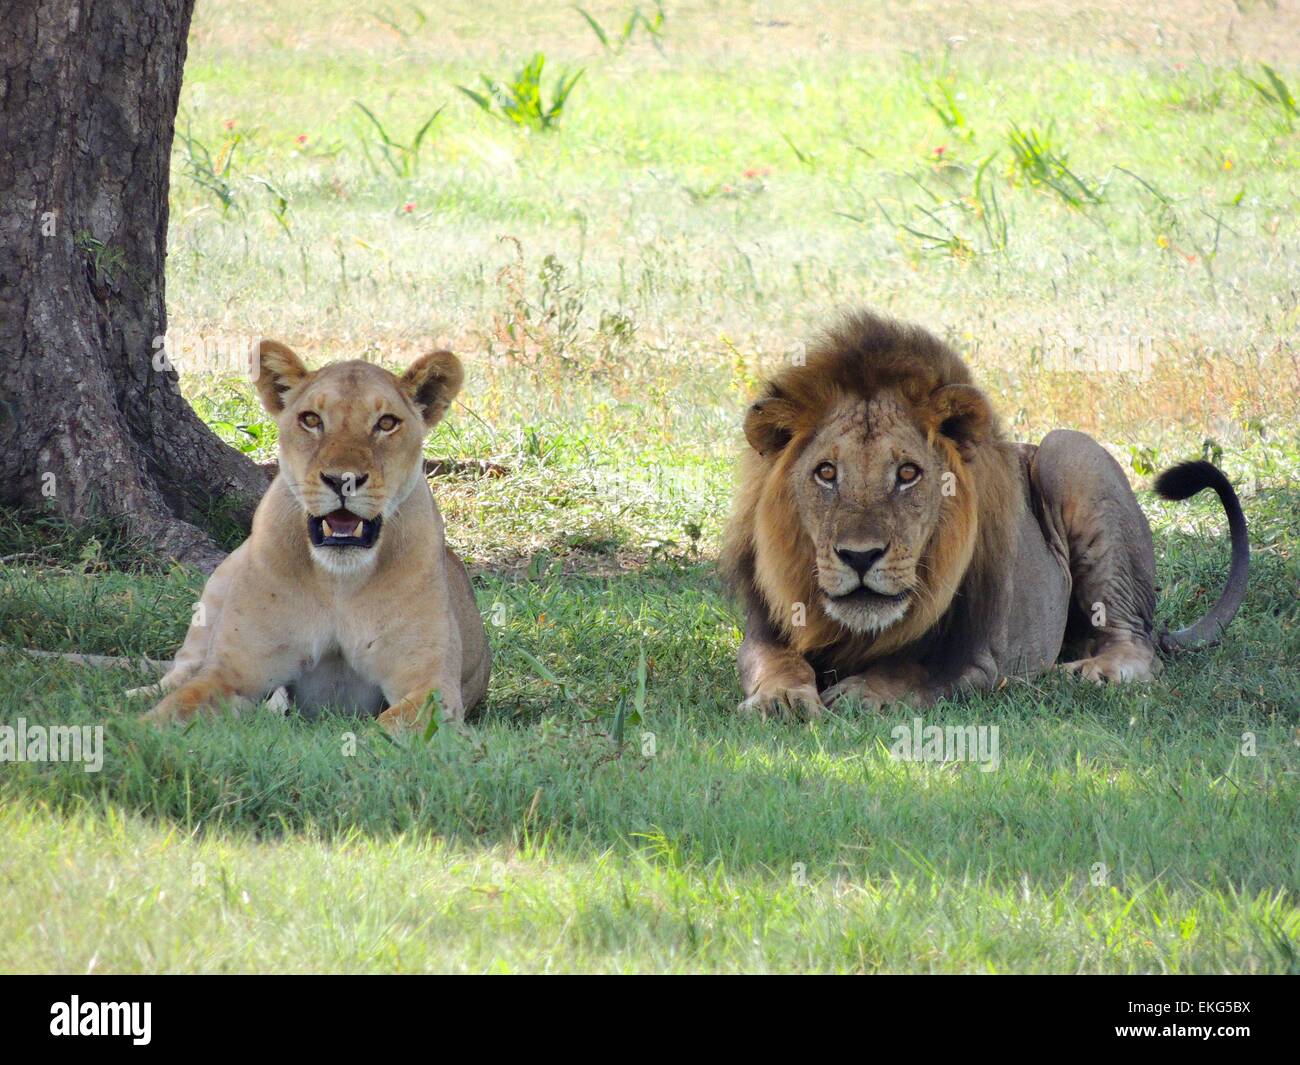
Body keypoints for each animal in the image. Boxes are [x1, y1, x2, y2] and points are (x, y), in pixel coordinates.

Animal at [142, 340, 491, 732]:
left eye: (386, 423)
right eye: (311, 419)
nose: (343, 480)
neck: (339, 581)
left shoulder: (430, 687)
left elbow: (385, 729)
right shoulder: (231, 673)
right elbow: (171, 710)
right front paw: (128, 731)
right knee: (179, 670)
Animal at [721, 311, 1250, 719]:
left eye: (908, 473)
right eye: (826, 473)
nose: (859, 556)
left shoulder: (981, 657)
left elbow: (912, 670)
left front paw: (862, 694)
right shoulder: (764, 631)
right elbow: (776, 662)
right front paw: (782, 699)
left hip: (1069, 452)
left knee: (1136, 648)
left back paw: (1083, 674)